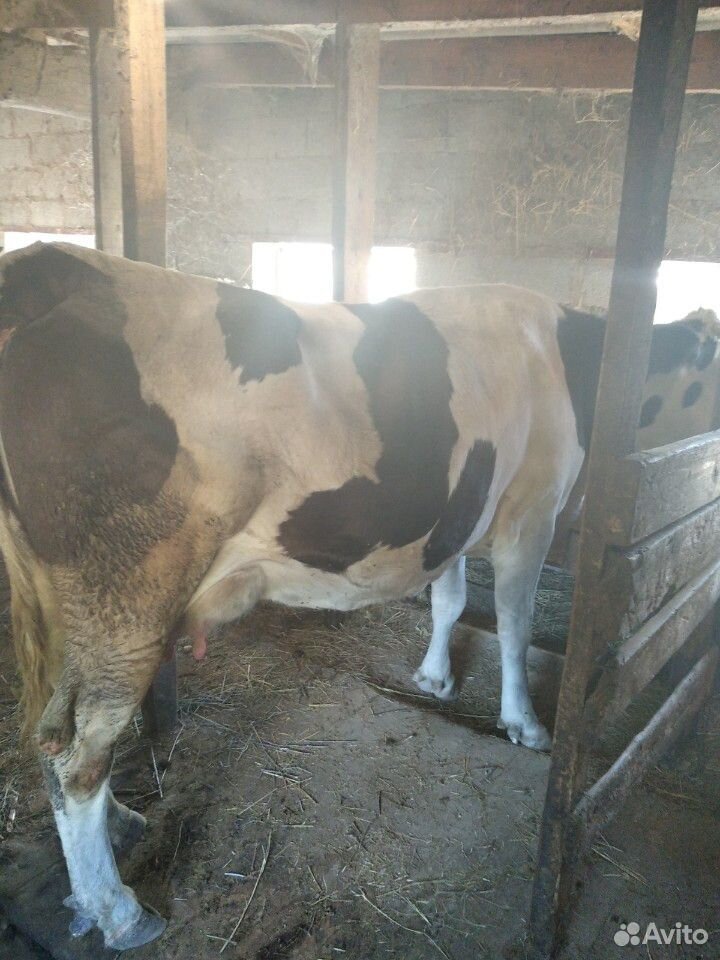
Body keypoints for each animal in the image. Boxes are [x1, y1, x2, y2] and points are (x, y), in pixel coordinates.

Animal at [0, 242, 716, 950]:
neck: (570, 357)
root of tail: (48, 264)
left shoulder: (456, 517)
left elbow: (450, 600)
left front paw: (434, 678)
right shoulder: (530, 513)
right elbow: (514, 625)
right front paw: (525, 722)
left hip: (57, 609)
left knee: (51, 736)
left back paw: (123, 825)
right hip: (127, 601)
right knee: (80, 757)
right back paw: (118, 909)